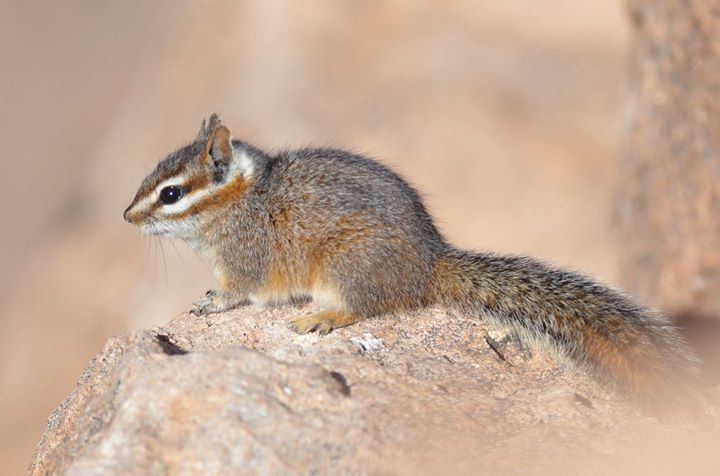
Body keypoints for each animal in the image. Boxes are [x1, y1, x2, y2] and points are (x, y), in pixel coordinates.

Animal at [124, 114, 699, 404]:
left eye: (172, 193)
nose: (127, 217)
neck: (239, 198)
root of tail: (428, 265)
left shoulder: (244, 261)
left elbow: (236, 291)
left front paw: (210, 304)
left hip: (344, 267)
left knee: (362, 308)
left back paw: (321, 317)